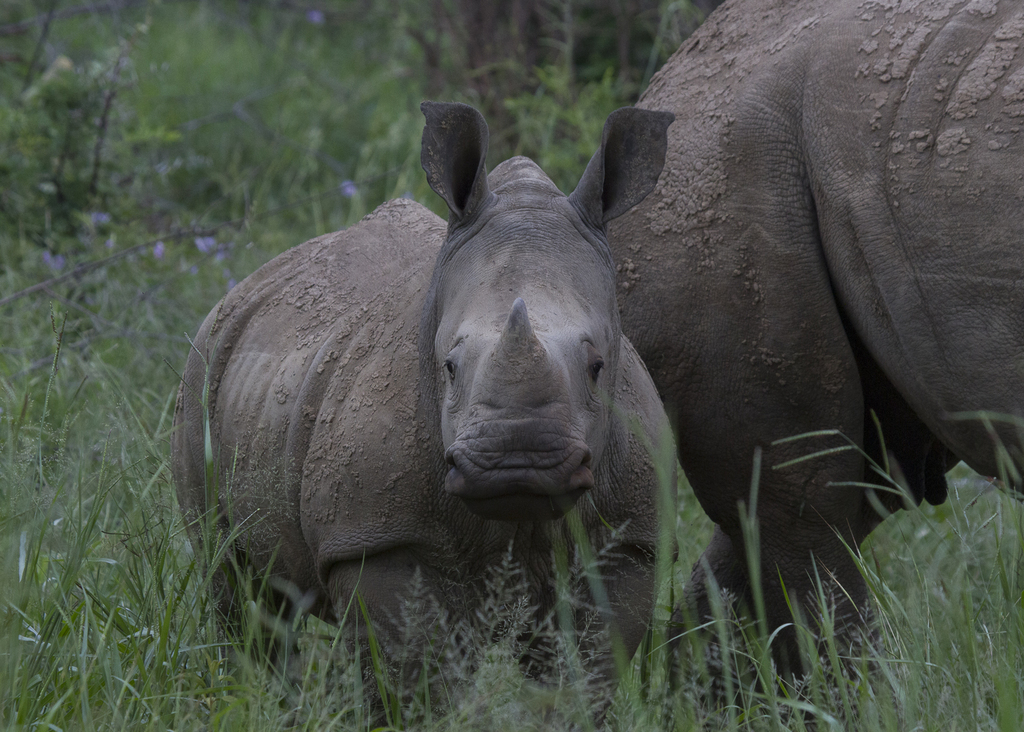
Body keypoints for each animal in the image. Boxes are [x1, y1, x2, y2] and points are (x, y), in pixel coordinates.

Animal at [170, 102, 677, 687]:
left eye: (597, 368)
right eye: (449, 369)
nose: (518, 461)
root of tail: (250, 284)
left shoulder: (633, 543)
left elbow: (588, 670)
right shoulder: (376, 539)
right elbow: (412, 674)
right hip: (203, 363)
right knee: (240, 587)